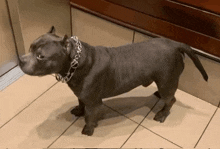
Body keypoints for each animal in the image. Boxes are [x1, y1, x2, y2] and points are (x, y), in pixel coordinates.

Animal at [18, 26, 208, 136]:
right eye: (30, 47)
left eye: (40, 56)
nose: (20, 60)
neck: (77, 62)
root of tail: (175, 44)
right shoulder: (82, 94)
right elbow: (80, 102)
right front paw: (79, 110)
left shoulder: (94, 103)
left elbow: (90, 117)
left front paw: (88, 130)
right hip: (164, 82)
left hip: (167, 82)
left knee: (171, 99)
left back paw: (162, 114)